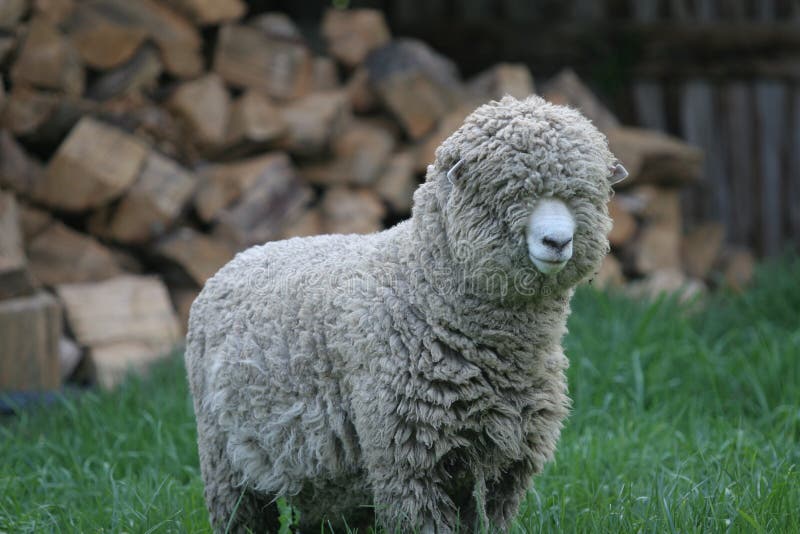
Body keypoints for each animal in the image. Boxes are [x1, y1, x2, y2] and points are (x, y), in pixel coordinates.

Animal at [185, 95, 626, 533]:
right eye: (507, 193)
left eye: (584, 194)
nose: (557, 241)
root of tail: (244, 256)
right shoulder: (408, 458)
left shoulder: (506, 465)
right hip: (223, 459)